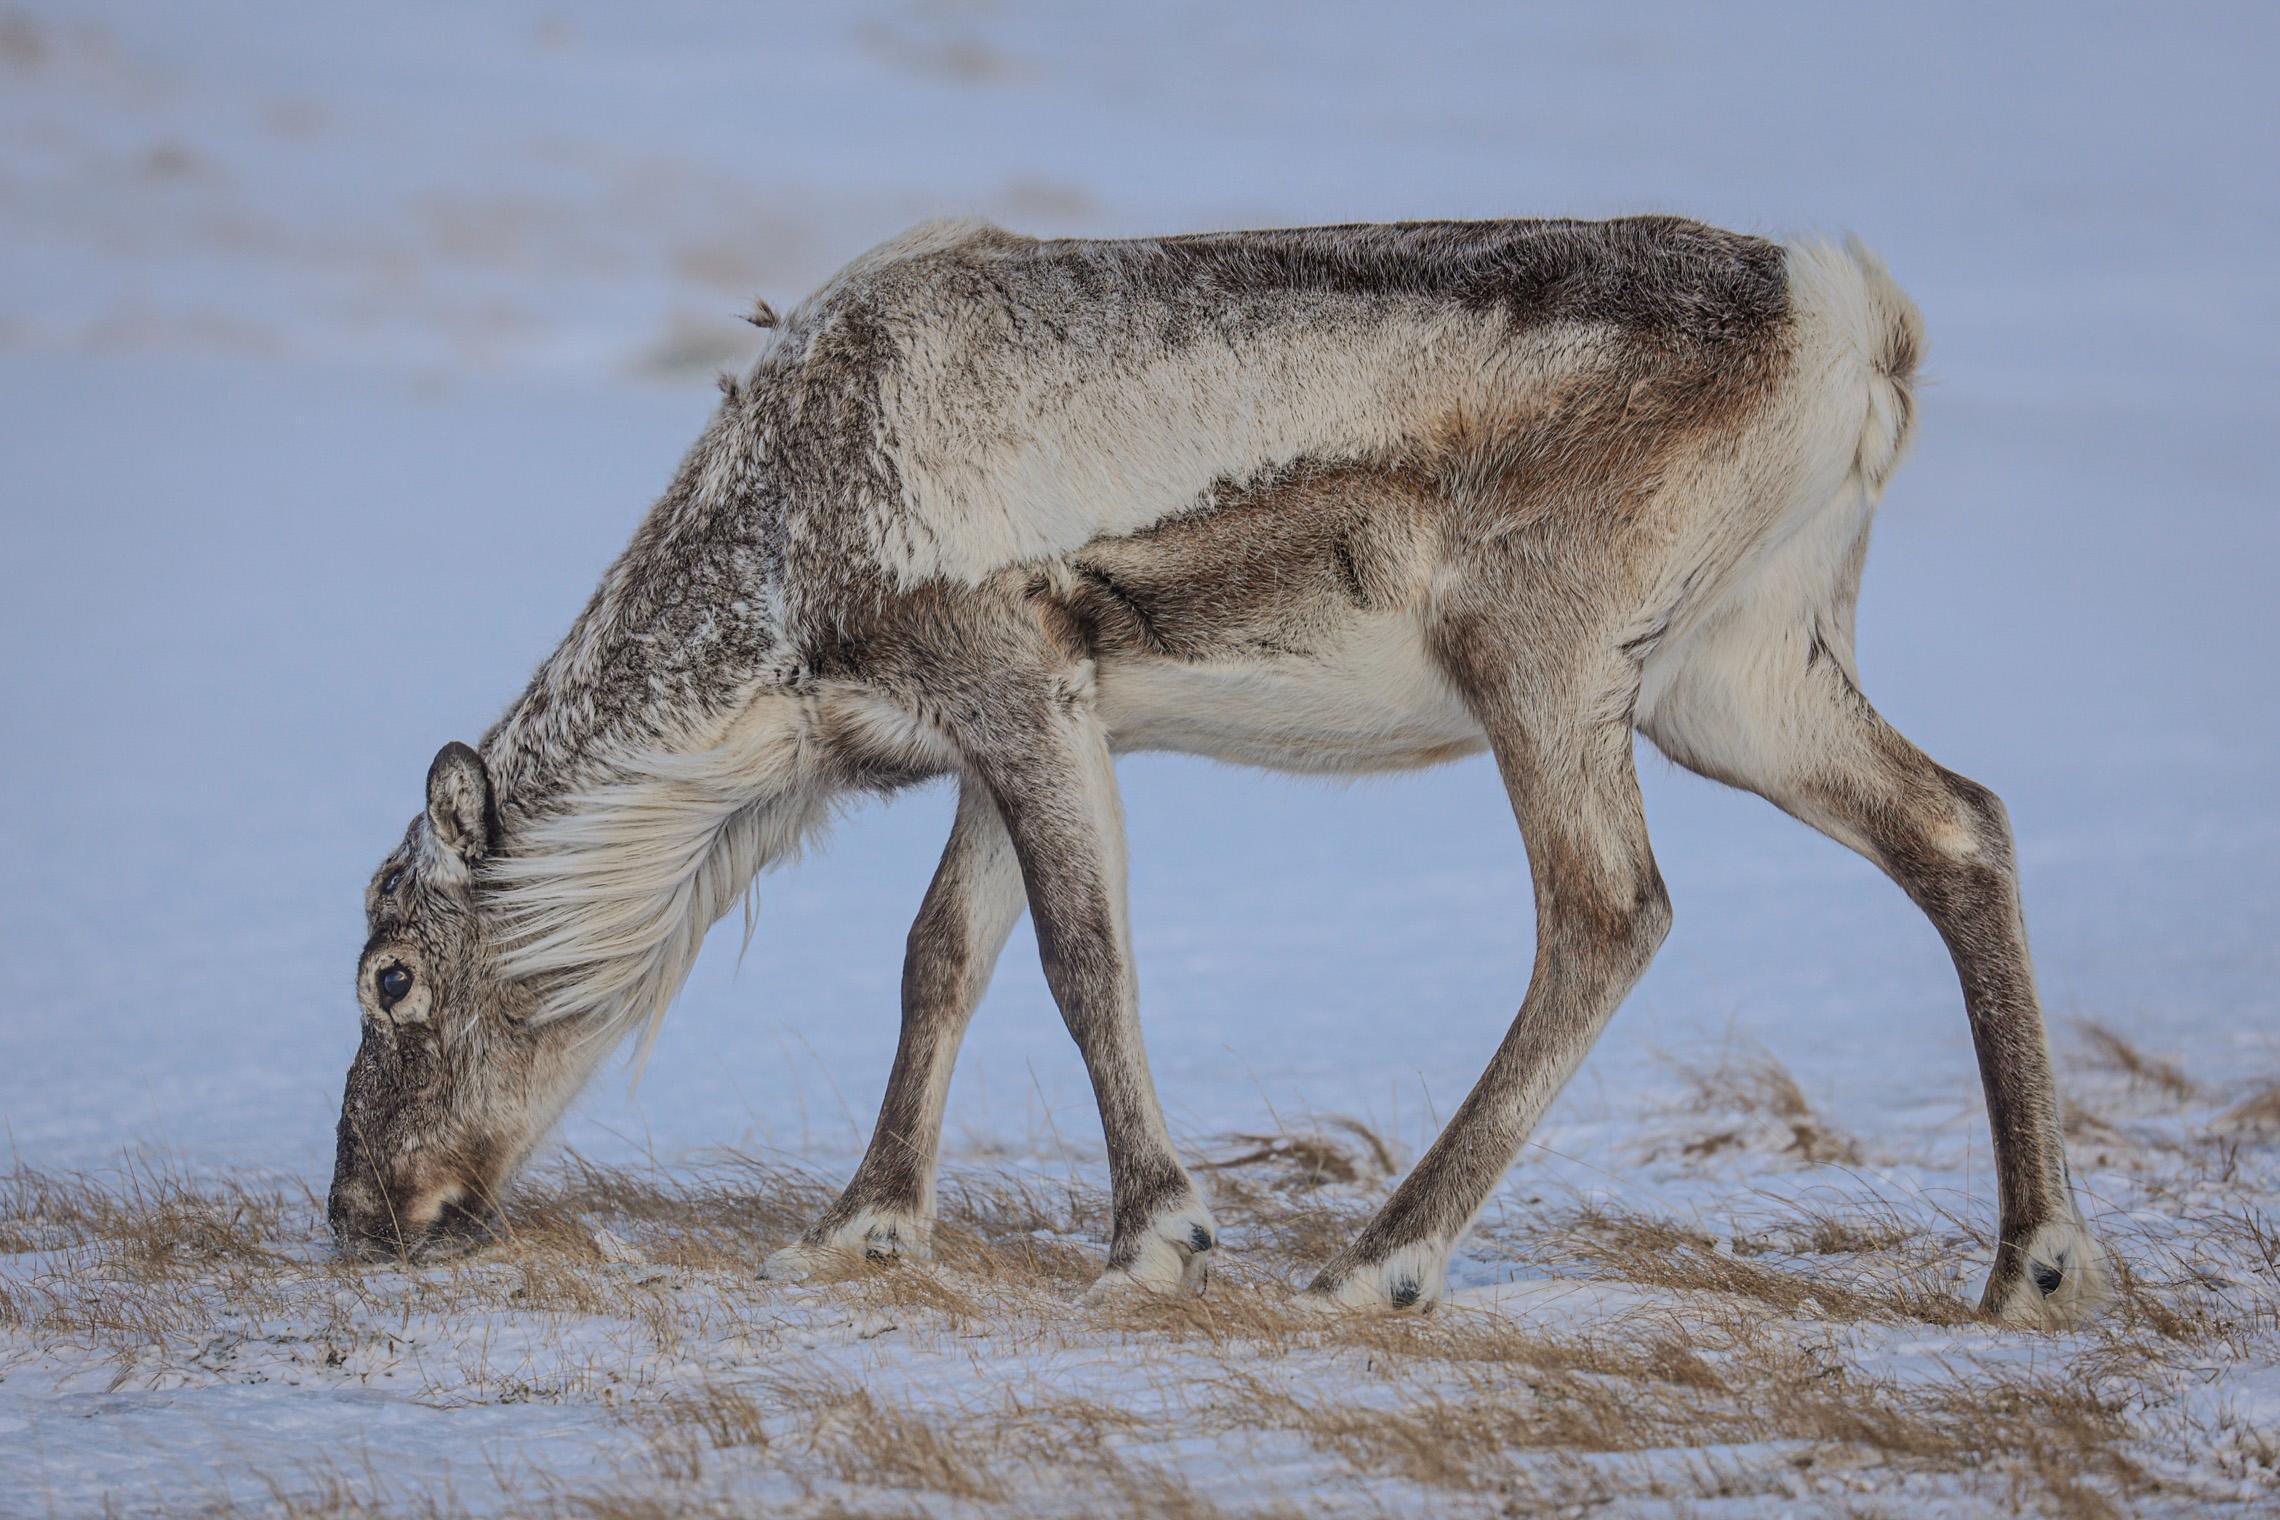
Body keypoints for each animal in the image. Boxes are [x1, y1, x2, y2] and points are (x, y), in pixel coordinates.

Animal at [327, 215, 2107, 1325]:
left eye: (392, 975)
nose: (356, 1215)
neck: (776, 591)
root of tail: (1857, 324)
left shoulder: (1009, 678)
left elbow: (1081, 960)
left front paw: (1156, 1240)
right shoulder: (1028, 719)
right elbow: (940, 958)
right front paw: (861, 1225)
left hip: (1545, 658)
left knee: (1610, 912)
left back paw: (1382, 1259)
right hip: (1739, 676)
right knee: (1963, 828)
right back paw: (2034, 1264)